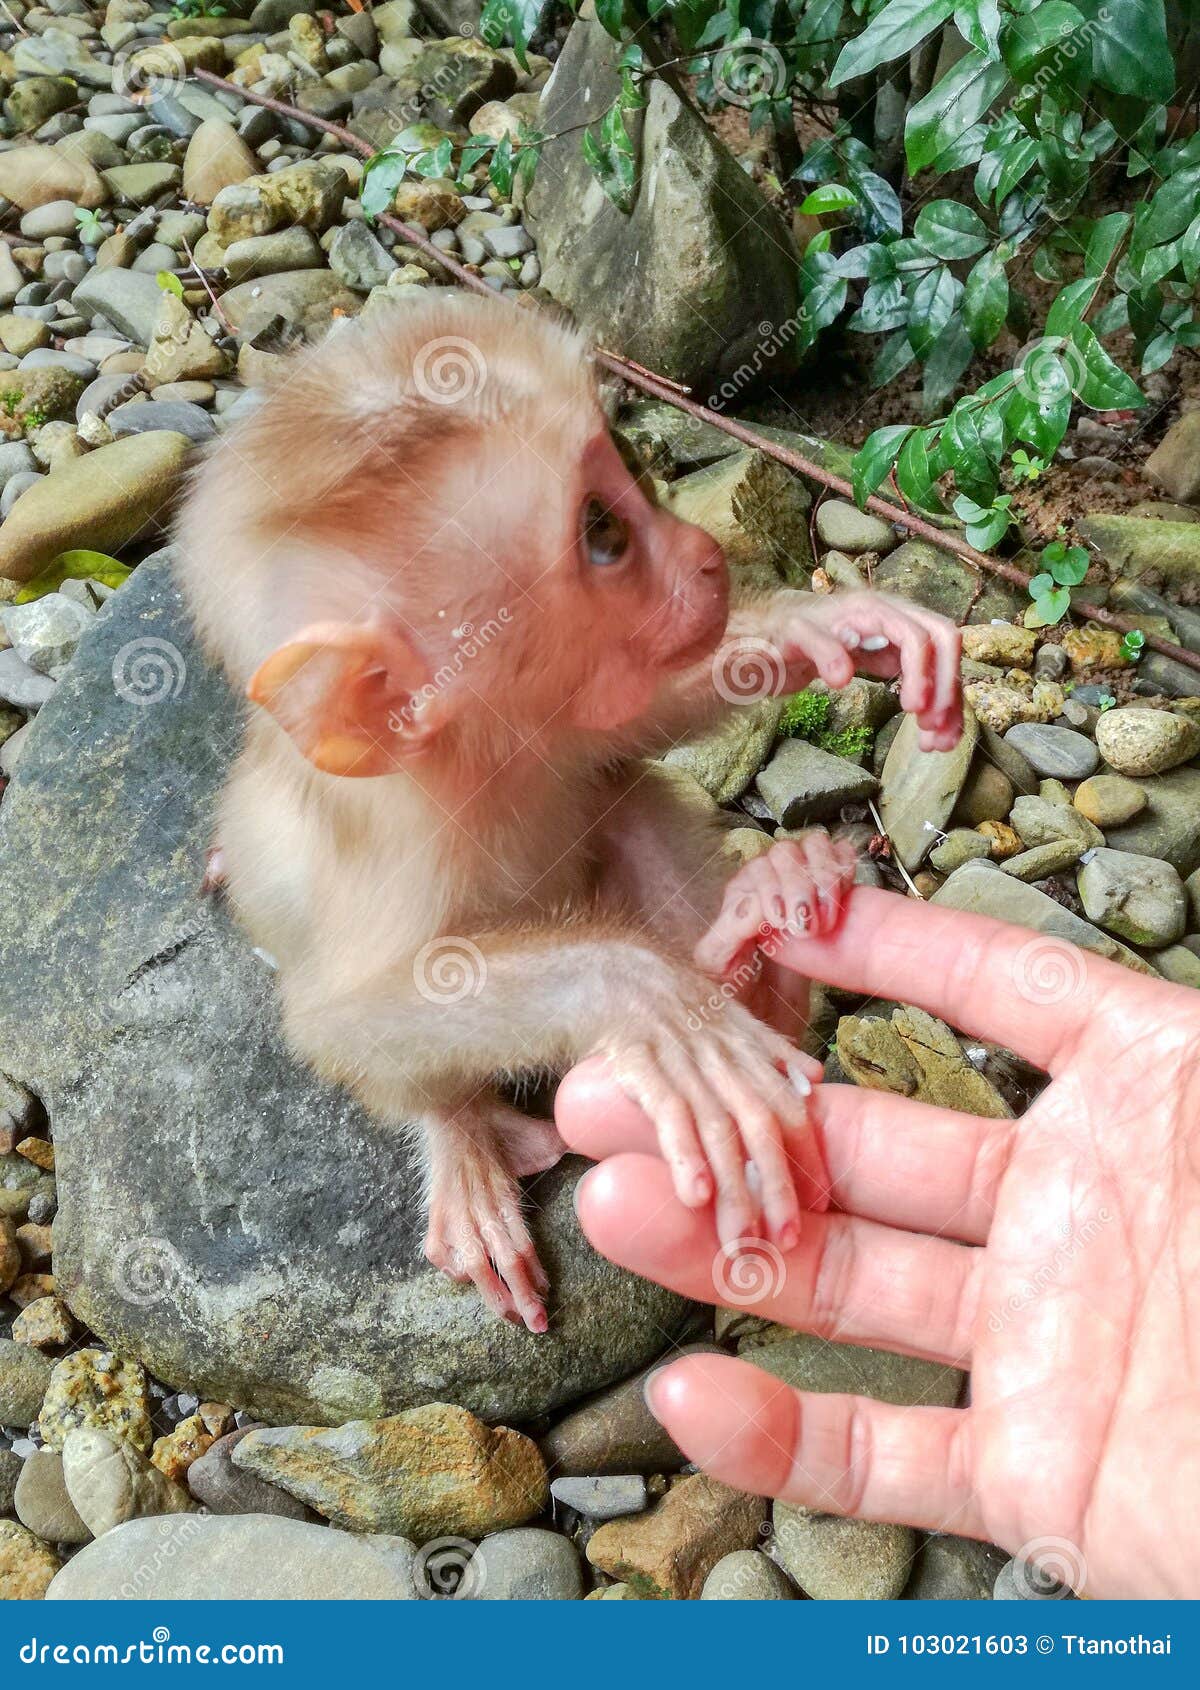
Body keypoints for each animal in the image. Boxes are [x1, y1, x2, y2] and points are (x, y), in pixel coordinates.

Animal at [175, 292, 961, 1334]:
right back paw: (467, 1136)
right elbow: (339, 1016)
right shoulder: (398, 844)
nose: (706, 558)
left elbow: (634, 723)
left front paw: (821, 626)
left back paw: (765, 952)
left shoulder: (562, 724)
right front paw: (644, 998)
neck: (483, 757)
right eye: (602, 534)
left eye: (625, 467)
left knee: (621, 799)